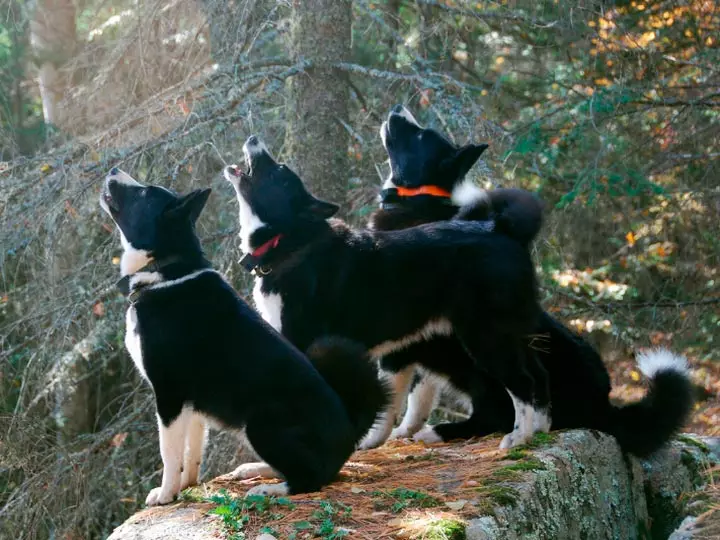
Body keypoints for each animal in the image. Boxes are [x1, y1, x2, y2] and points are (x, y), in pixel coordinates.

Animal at [97, 168, 388, 502]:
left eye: (143, 193)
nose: (112, 171)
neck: (165, 273)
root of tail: (348, 434)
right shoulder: (192, 402)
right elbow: (192, 451)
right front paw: (186, 486)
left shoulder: (170, 393)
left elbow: (169, 452)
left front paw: (167, 494)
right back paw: (255, 469)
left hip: (261, 423)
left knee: (310, 478)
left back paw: (267, 489)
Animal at [228, 135, 556, 452]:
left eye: (279, 173)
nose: (254, 138)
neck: (288, 240)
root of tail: (502, 229)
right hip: (509, 333)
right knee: (539, 375)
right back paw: (539, 430)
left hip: (485, 337)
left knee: (522, 382)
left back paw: (518, 437)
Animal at [368, 104, 696, 456]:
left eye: (420, 136)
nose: (398, 109)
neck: (422, 198)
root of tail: (604, 409)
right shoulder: (419, 348)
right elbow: (418, 398)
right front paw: (403, 431)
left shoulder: (397, 345)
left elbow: (390, 398)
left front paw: (373, 439)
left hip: (485, 350)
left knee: (499, 409)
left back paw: (455, 432)